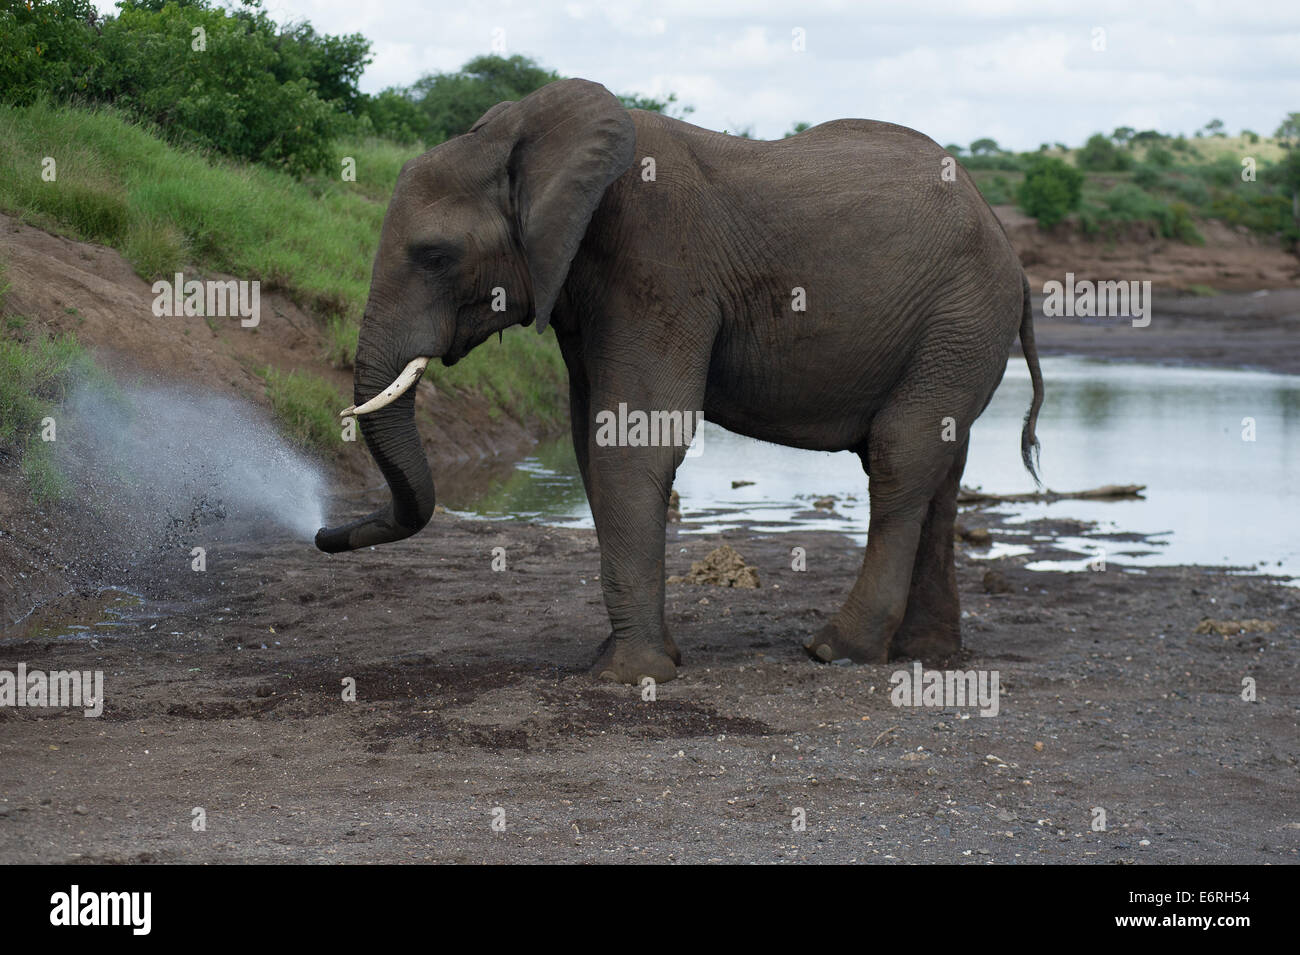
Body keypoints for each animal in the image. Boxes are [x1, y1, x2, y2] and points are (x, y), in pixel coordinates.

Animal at [315, 78, 1044, 685]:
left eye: (434, 256)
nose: (326, 536)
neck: (526, 135)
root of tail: (1012, 251)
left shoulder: (659, 264)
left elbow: (633, 439)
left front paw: (630, 676)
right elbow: (588, 441)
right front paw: (624, 661)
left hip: (961, 317)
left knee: (900, 458)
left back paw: (836, 651)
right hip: (956, 333)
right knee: (942, 469)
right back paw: (926, 652)